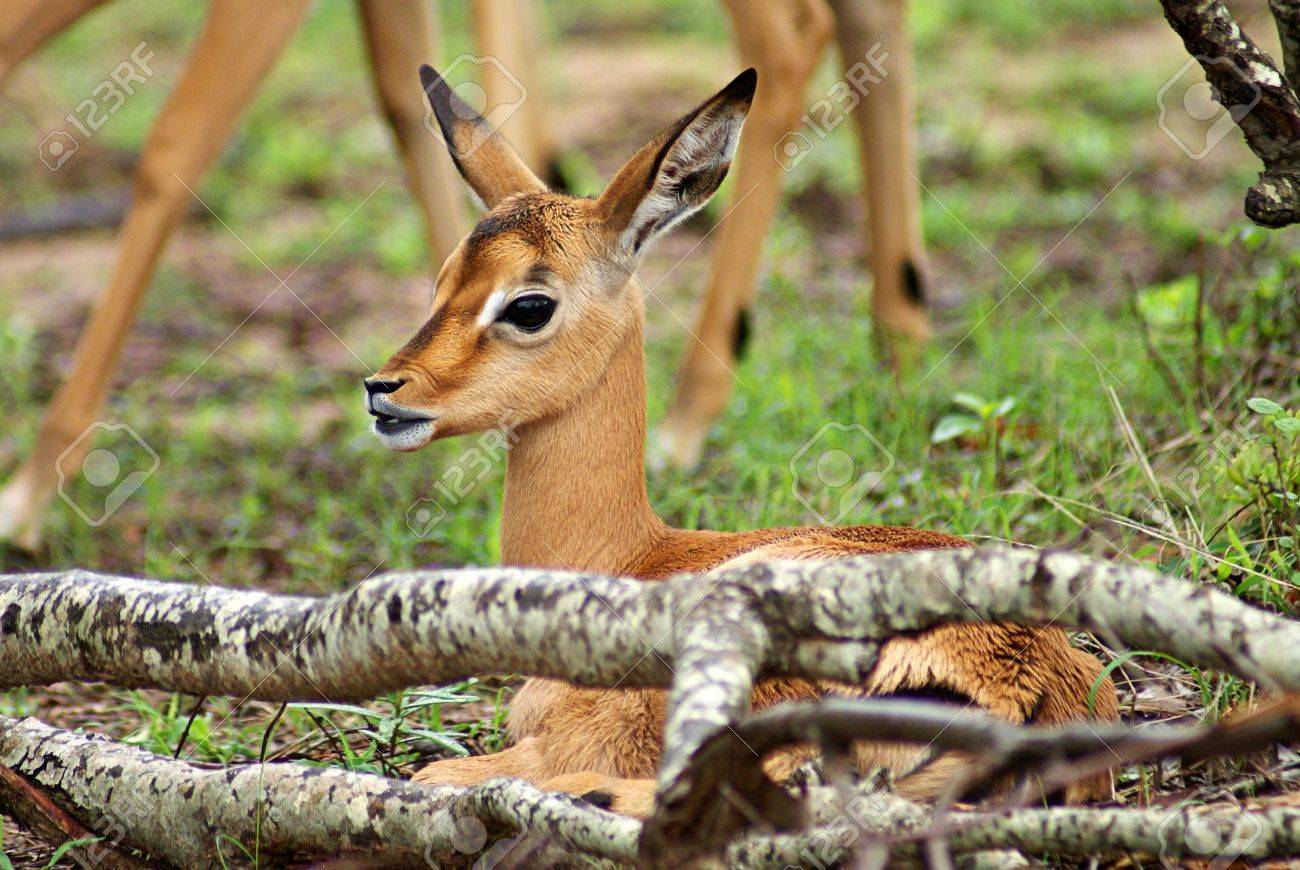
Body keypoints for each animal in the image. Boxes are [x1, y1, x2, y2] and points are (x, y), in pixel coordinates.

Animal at [0, 0, 927, 549]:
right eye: (443, 281)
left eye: (530, 305)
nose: (382, 389)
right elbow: (403, 94)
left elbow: (174, 149)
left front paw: (30, 494)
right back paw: (902, 343)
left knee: (789, 36)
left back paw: (695, 416)